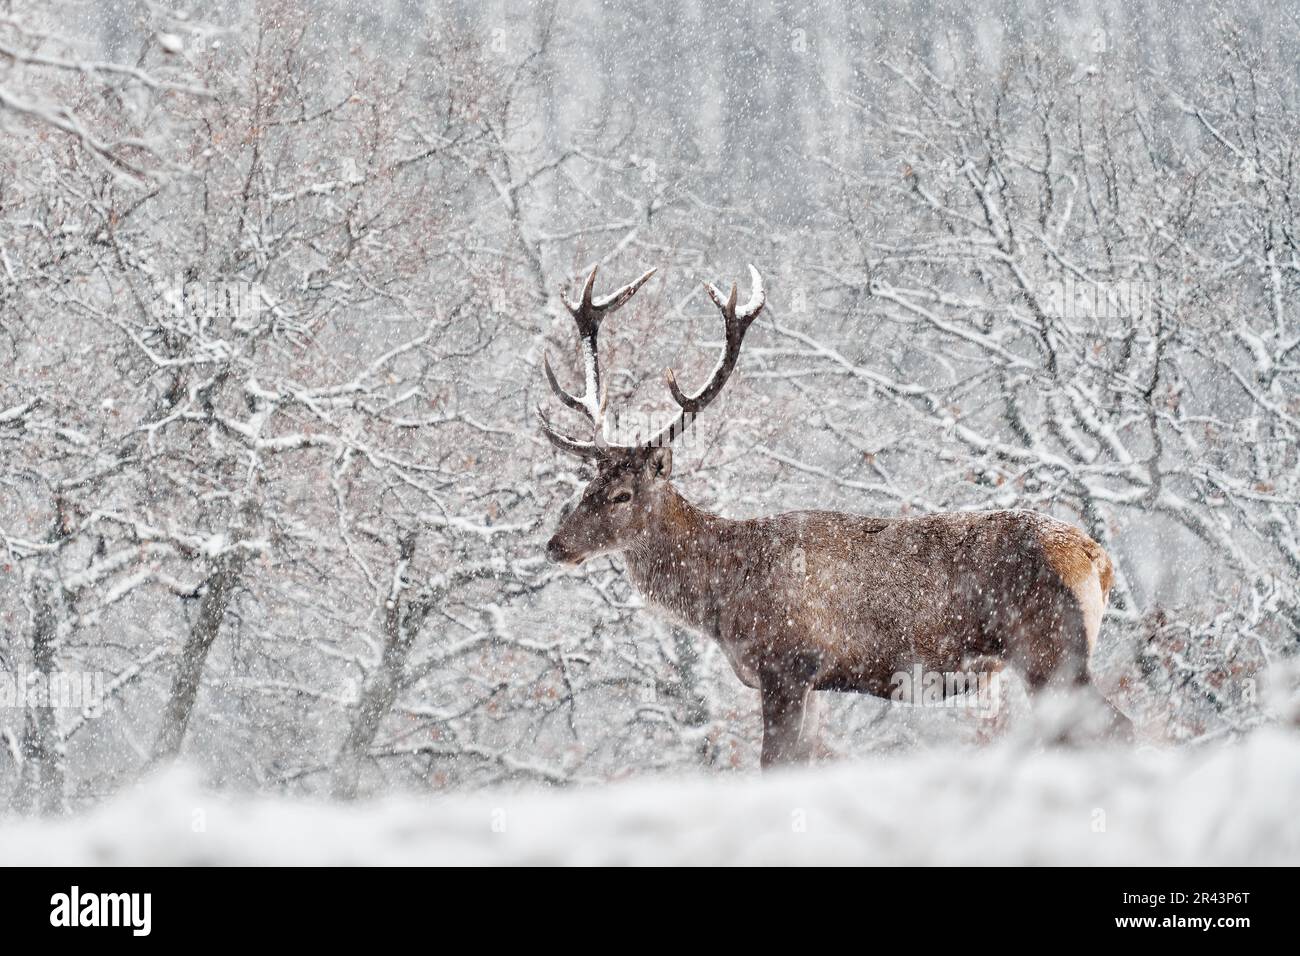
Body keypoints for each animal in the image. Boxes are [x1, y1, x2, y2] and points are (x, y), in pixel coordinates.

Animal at [538, 264, 1134, 768]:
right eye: (587, 485)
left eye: (622, 495)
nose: (555, 545)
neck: (723, 596)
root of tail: (1098, 559)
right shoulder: (815, 683)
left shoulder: (787, 662)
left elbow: (773, 765)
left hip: (1050, 647)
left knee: (1112, 727)